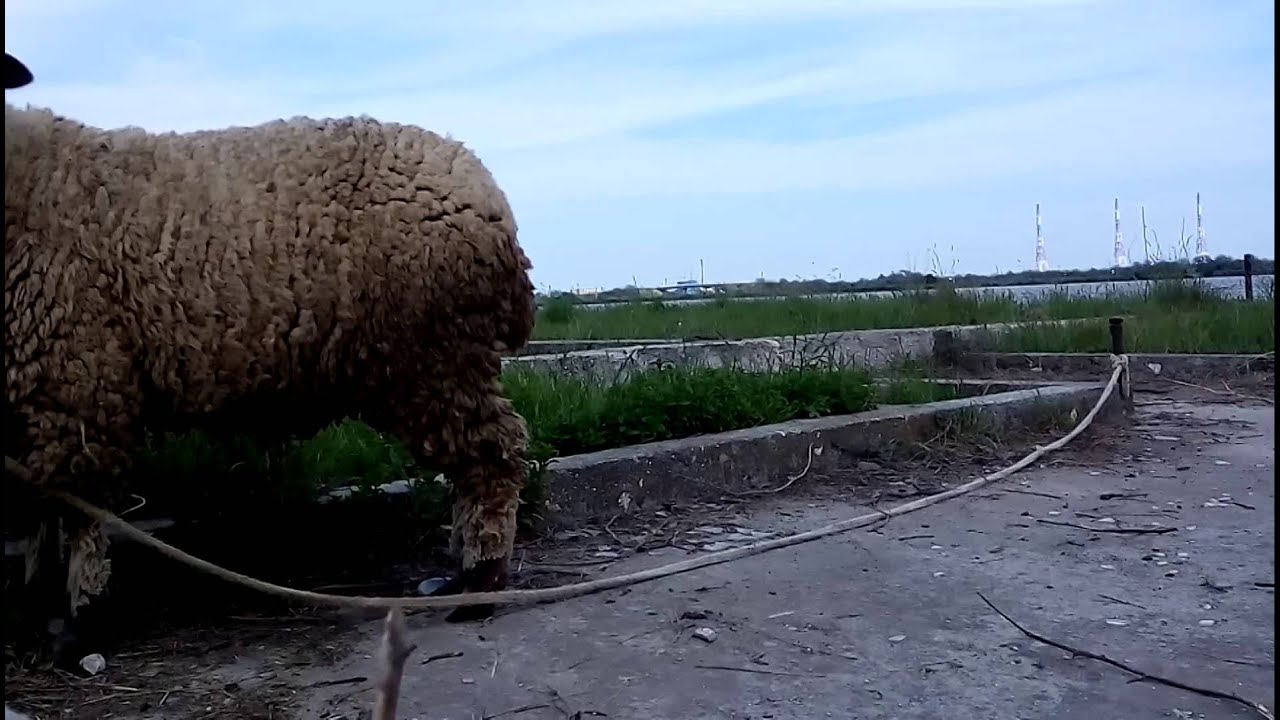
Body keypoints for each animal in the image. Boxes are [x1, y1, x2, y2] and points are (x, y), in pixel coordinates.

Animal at [4, 83, 540, 658]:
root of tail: (488, 194)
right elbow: (35, 513)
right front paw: (34, 607)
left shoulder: (77, 385)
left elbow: (75, 513)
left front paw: (78, 621)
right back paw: (458, 572)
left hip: (434, 360)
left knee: (492, 459)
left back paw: (479, 583)